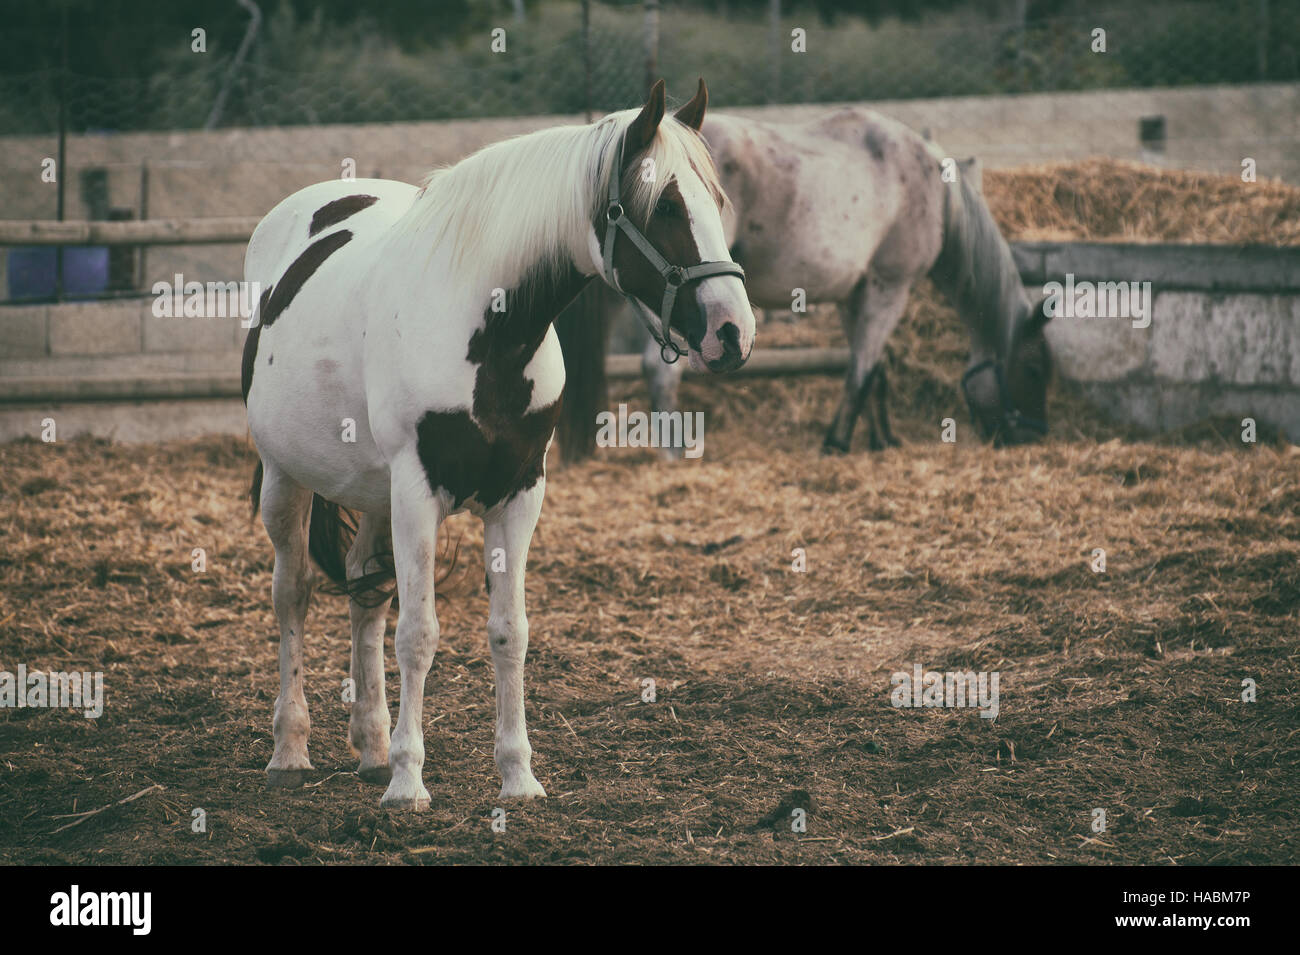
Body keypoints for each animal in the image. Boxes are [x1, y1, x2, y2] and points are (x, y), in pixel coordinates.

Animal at [241, 79, 754, 809]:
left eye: (718, 200)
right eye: (664, 206)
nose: (733, 331)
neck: (482, 329)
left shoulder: (518, 492)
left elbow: (509, 633)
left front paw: (517, 775)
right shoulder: (417, 490)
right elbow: (418, 634)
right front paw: (409, 783)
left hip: (370, 492)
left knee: (367, 593)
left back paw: (370, 747)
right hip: (286, 478)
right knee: (294, 593)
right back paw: (291, 749)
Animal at [561, 107, 1053, 458]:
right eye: (1034, 369)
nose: (1033, 435)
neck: (933, 187)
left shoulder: (858, 295)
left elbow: (873, 369)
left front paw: (881, 438)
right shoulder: (889, 288)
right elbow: (861, 371)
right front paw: (837, 442)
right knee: (658, 369)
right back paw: (675, 452)